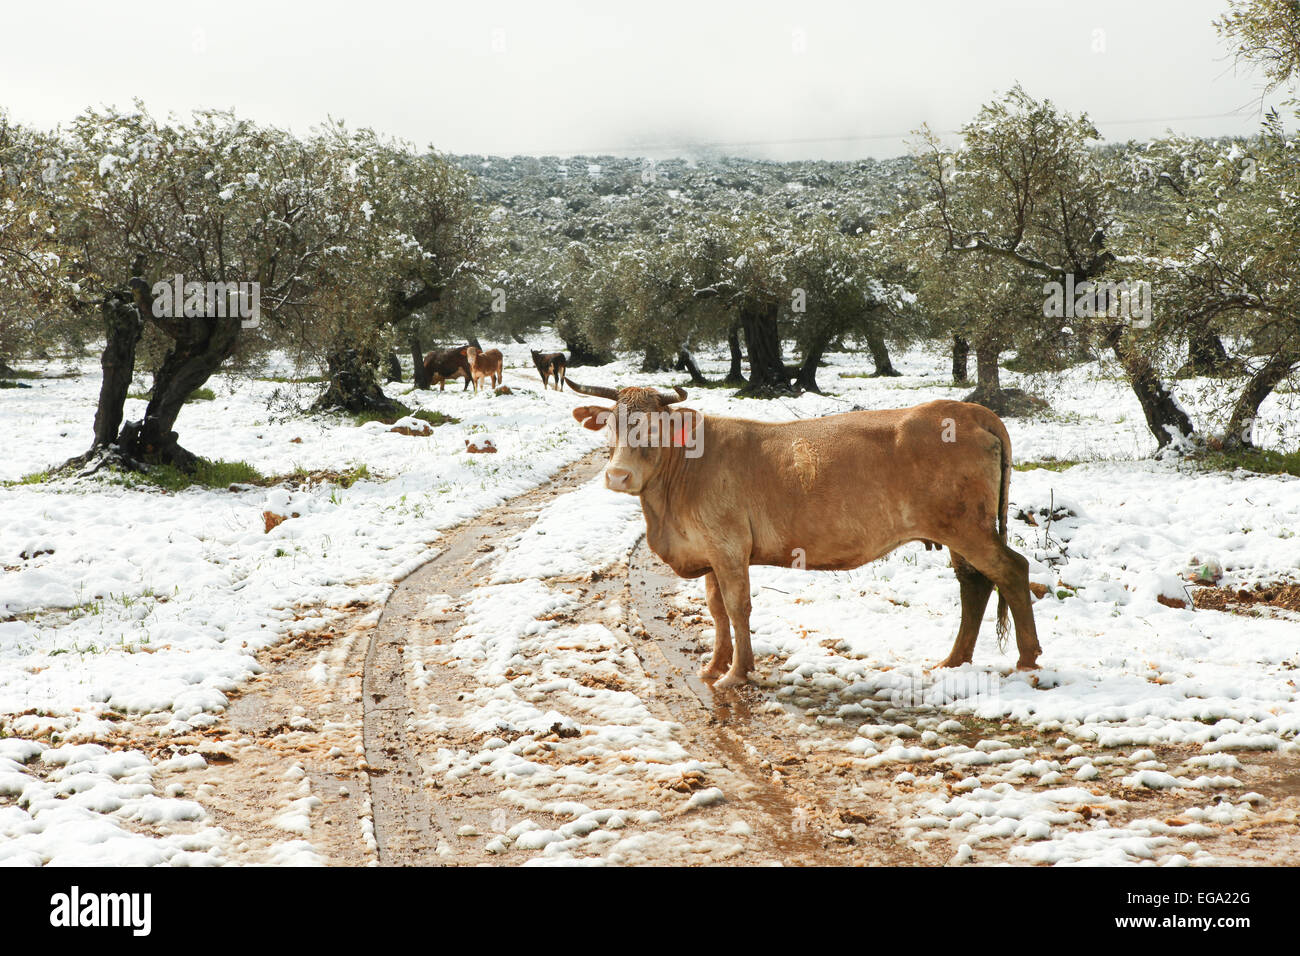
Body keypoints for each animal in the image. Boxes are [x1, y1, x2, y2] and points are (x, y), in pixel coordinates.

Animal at [567, 381, 1042, 689]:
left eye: (654, 429)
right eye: (611, 426)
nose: (618, 475)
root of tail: (969, 409)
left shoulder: (729, 547)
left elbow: (737, 608)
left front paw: (736, 674)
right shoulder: (711, 552)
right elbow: (716, 610)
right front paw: (714, 667)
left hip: (968, 528)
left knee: (1011, 570)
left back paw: (1027, 660)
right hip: (960, 531)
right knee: (974, 584)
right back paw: (954, 661)